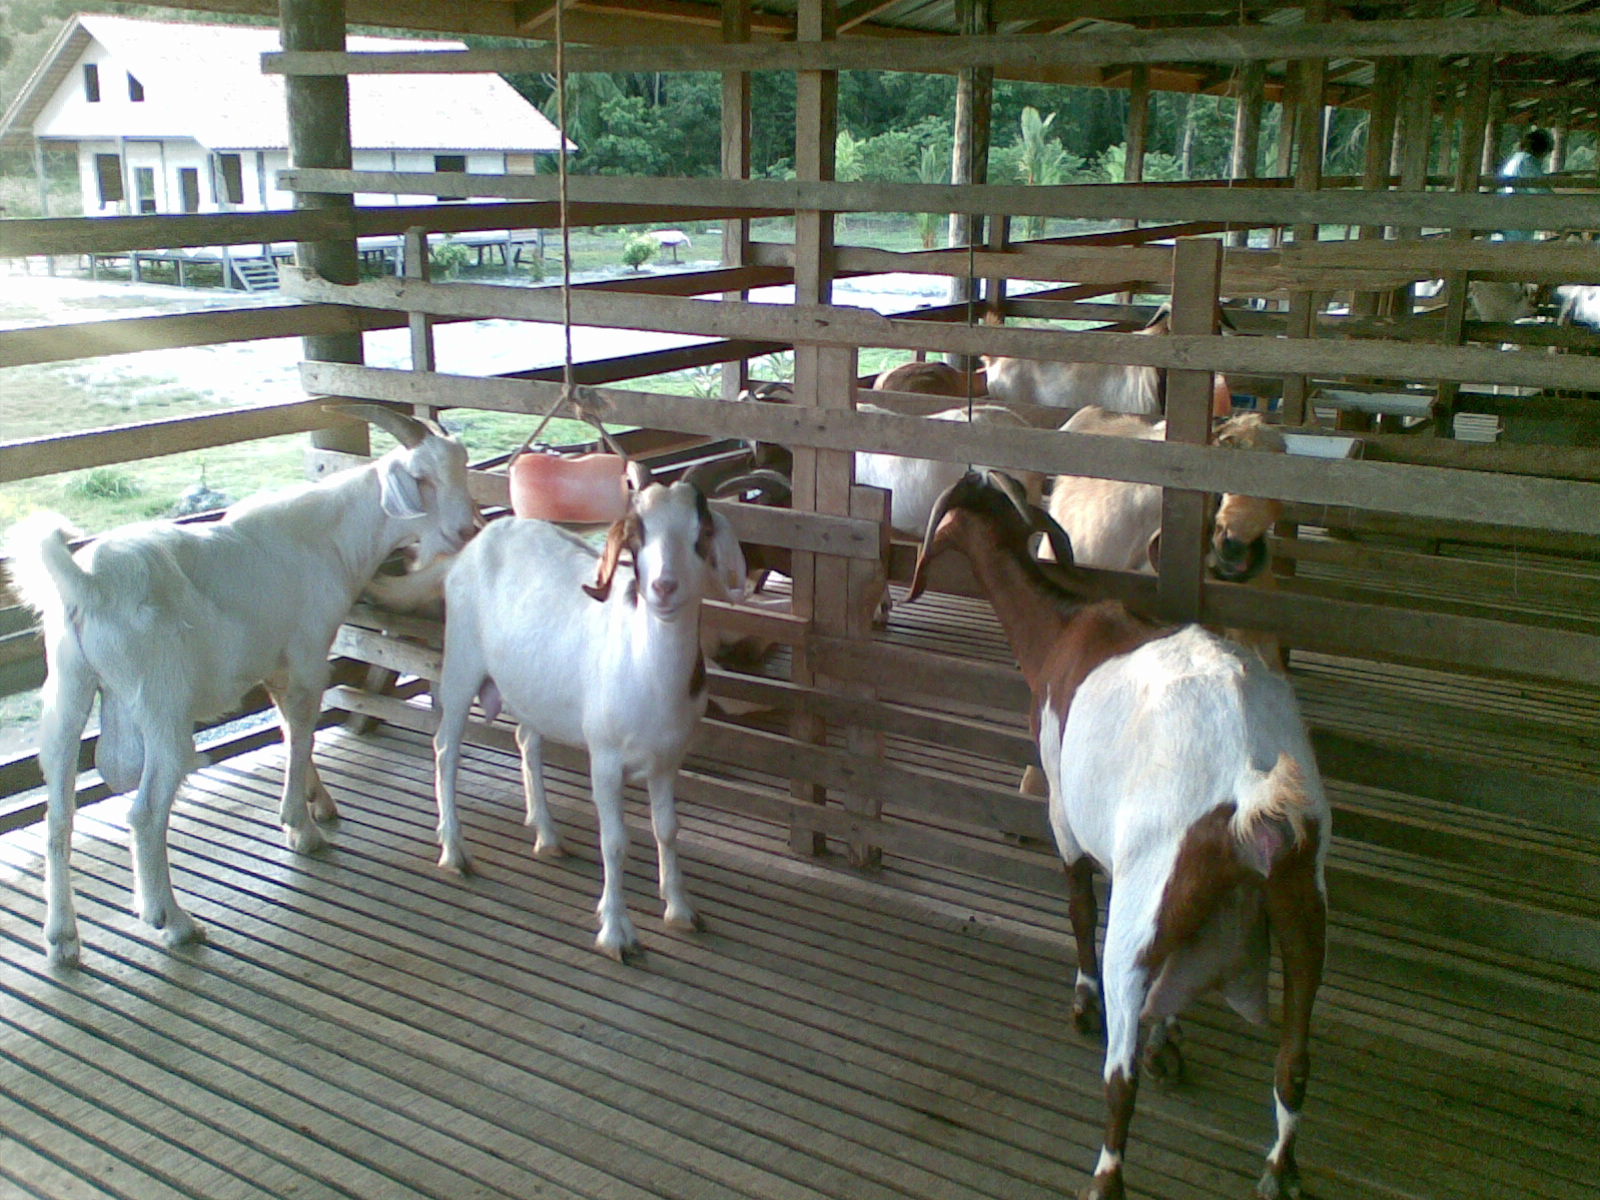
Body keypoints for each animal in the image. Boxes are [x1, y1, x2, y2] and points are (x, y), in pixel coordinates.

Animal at [5, 405, 479, 968]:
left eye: (462, 467)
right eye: (422, 478)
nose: (467, 529)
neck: (330, 536)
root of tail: (88, 584)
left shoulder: (272, 662)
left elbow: (287, 727)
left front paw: (317, 802)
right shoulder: (308, 652)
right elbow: (302, 729)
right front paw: (301, 827)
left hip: (68, 687)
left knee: (58, 813)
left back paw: (61, 939)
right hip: (160, 702)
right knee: (144, 813)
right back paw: (173, 921)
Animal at [368, 479, 745, 961]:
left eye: (701, 535)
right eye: (638, 537)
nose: (663, 587)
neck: (645, 665)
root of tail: (469, 549)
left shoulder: (667, 761)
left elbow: (668, 830)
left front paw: (680, 910)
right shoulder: (605, 760)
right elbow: (615, 842)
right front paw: (616, 932)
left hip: (530, 688)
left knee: (526, 741)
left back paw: (546, 834)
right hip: (460, 664)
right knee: (445, 750)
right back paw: (454, 852)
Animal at [907, 471, 1328, 1200]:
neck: (1060, 630)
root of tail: (1250, 789)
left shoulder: (1064, 812)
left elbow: (1078, 904)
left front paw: (1084, 1004)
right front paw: (1170, 1041)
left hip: (1144, 903)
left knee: (1118, 1074)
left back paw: (1105, 1175)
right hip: (1304, 901)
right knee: (1294, 1059)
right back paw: (1279, 1170)